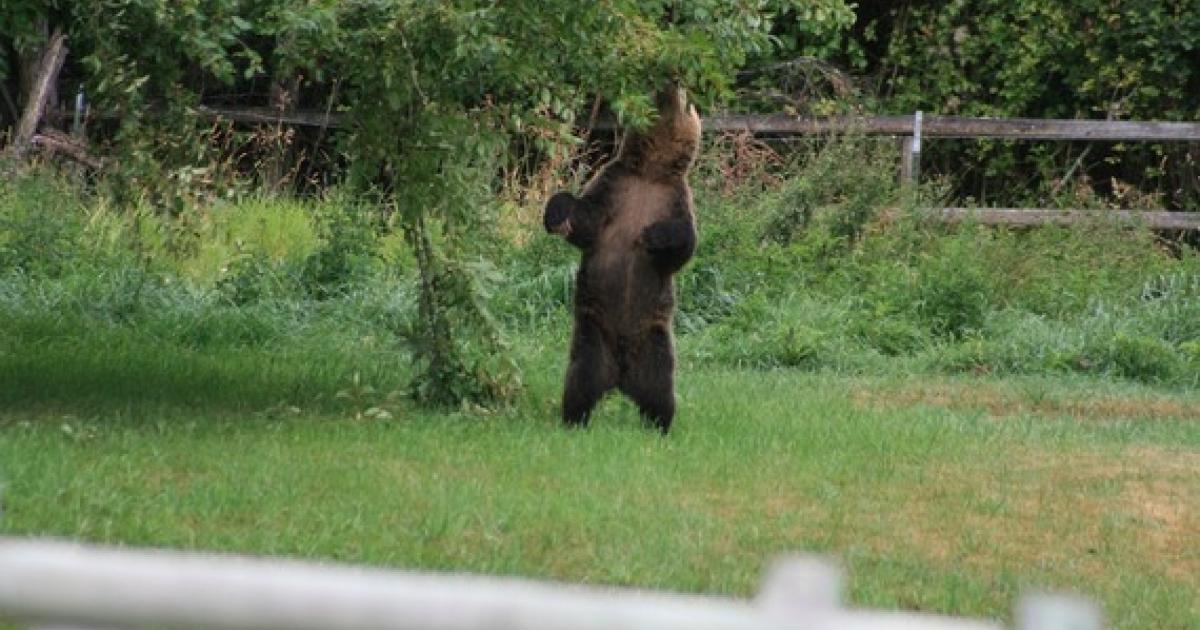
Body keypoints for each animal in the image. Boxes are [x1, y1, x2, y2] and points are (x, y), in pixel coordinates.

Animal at [543, 86, 701, 434]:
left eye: (687, 98)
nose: (673, 81)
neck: (651, 172)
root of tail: (620, 378)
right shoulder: (614, 186)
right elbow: (585, 219)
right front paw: (558, 212)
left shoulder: (674, 198)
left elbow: (683, 246)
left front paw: (655, 236)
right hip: (593, 331)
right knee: (581, 378)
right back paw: (574, 419)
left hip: (652, 339)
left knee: (660, 388)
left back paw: (659, 425)